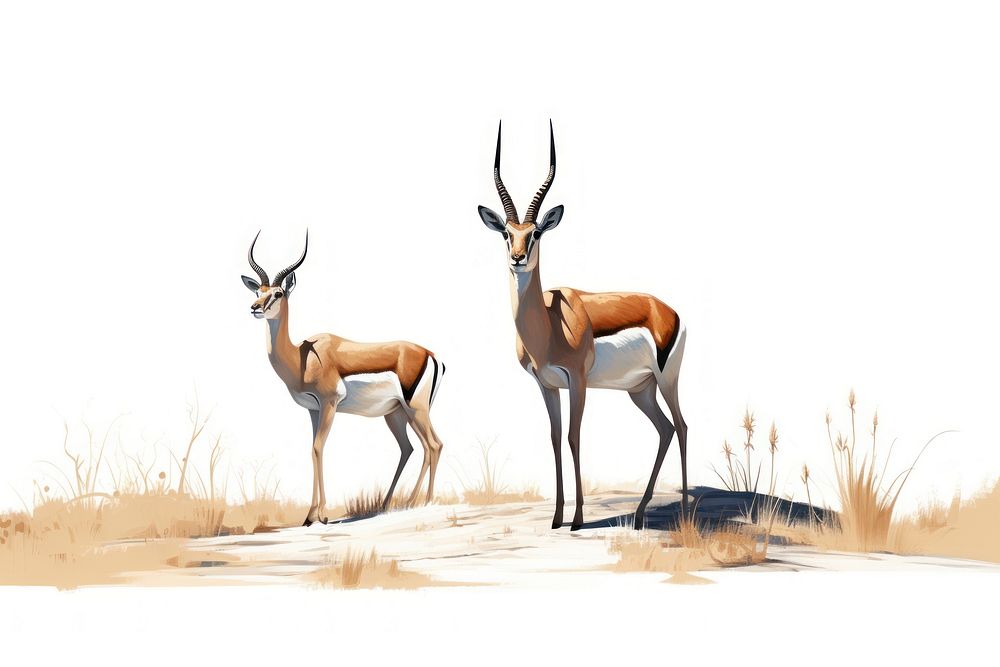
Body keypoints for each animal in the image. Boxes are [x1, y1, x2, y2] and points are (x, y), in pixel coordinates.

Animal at [240, 232, 446, 526]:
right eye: (258, 291)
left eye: (278, 293)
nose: (255, 308)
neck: (301, 358)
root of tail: (429, 353)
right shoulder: (313, 410)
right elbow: (312, 448)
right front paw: (309, 517)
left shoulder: (329, 403)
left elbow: (318, 447)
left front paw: (321, 516)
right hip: (397, 413)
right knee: (413, 448)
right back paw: (390, 504)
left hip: (416, 409)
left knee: (434, 445)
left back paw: (422, 502)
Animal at [477, 121, 689, 530]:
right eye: (507, 233)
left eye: (536, 233)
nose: (517, 258)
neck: (547, 325)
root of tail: (668, 311)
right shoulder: (546, 384)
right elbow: (555, 437)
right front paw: (557, 518)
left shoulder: (577, 379)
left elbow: (575, 436)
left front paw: (576, 519)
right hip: (640, 390)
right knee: (666, 428)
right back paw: (640, 513)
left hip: (667, 379)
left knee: (682, 426)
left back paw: (687, 512)